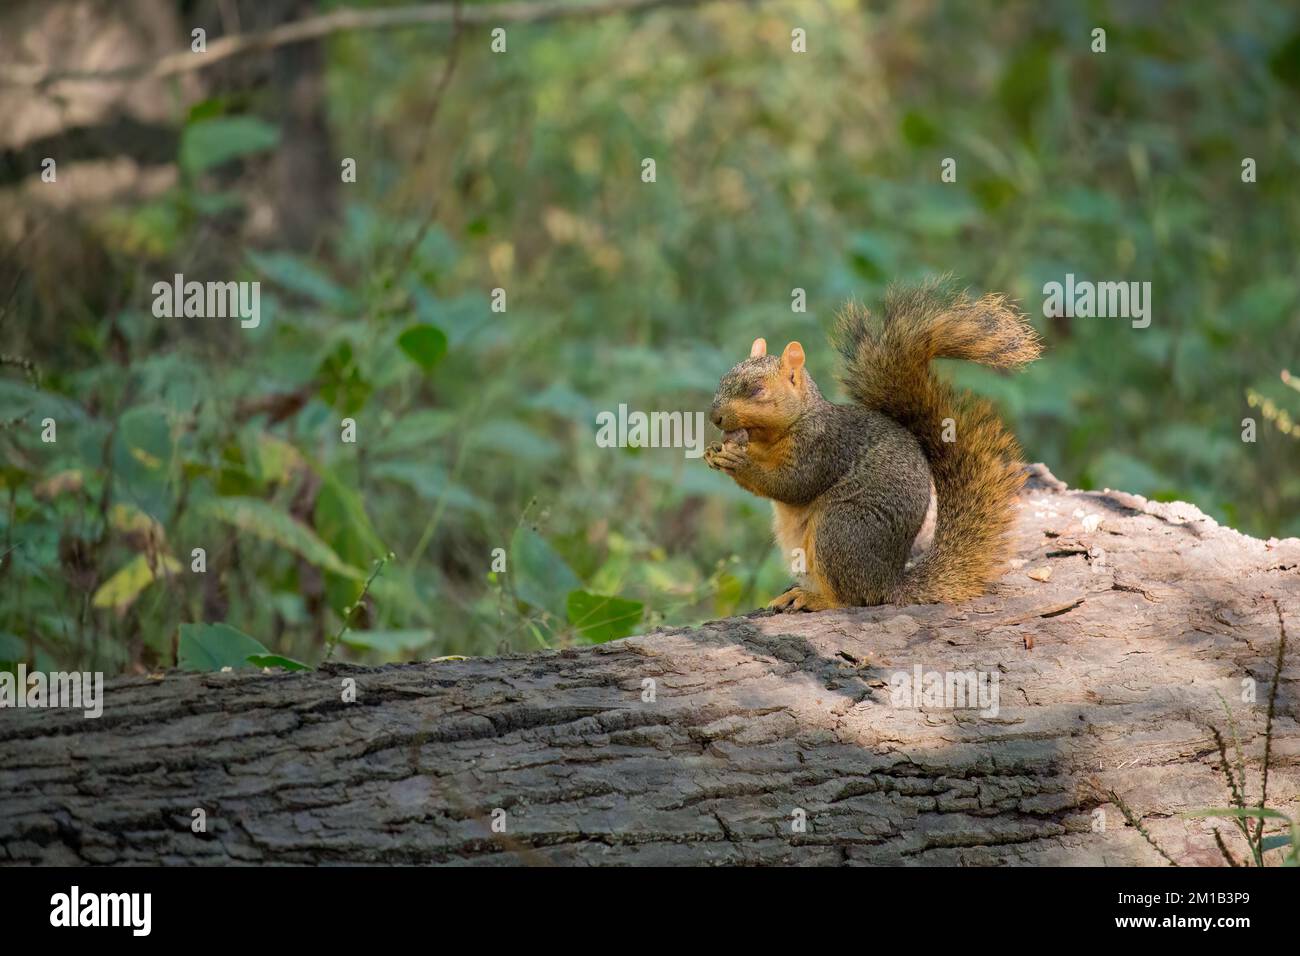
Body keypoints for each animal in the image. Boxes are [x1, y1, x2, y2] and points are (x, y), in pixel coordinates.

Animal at [704, 277, 1041, 611]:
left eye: (757, 390)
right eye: (722, 381)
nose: (714, 416)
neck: (782, 430)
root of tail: (888, 584)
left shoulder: (823, 447)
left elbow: (792, 484)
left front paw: (740, 463)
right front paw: (713, 453)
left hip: (841, 528)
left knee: (850, 599)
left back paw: (814, 598)